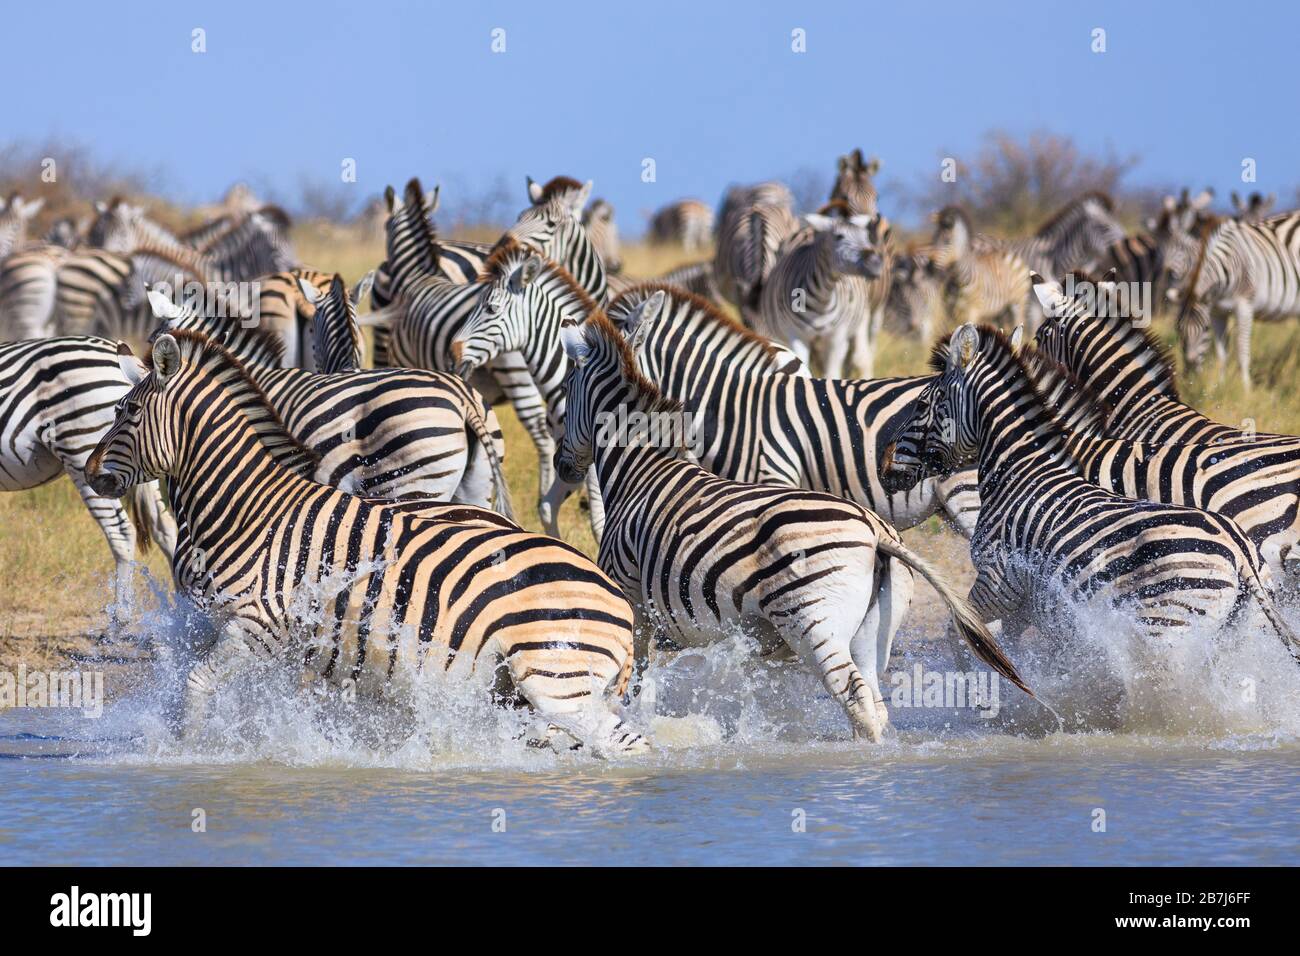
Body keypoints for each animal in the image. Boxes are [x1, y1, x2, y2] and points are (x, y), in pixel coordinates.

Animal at [85, 331, 647, 754]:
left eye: (127, 412)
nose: (90, 475)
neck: (248, 511)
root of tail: (619, 601)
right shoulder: (215, 622)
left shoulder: (258, 626)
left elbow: (196, 686)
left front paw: (190, 751)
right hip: (523, 686)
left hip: (556, 678)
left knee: (621, 742)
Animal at [549, 310, 1031, 741]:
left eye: (567, 392)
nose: (562, 465)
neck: (640, 470)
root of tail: (874, 531)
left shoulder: (633, 604)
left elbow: (630, 687)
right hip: (873, 629)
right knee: (875, 700)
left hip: (814, 621)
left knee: (855, 697)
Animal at [755, 202, 885, 378]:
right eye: (839, 237)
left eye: (866, 237)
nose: (876, 262)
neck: (821, 299)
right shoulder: (796, 336)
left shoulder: (836, 337)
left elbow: (832, 373)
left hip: (859, 323)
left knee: (861, 358)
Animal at [878, 322, 1300, 662]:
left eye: (921, 404)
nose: (884, 469)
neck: (1025, 466)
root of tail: (1239, 553)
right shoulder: (1031, 601)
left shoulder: (999, 580)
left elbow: (964, 635)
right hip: (1240, 629)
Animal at [1174, 210, 1300, 388]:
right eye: (1178, 328)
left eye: (1205, 328)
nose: (1190, 373)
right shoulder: (1216, 312)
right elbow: (1222, 353)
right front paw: (1220, 386)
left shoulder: (1244, 305)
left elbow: (1241, 351)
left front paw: (1246, 389)